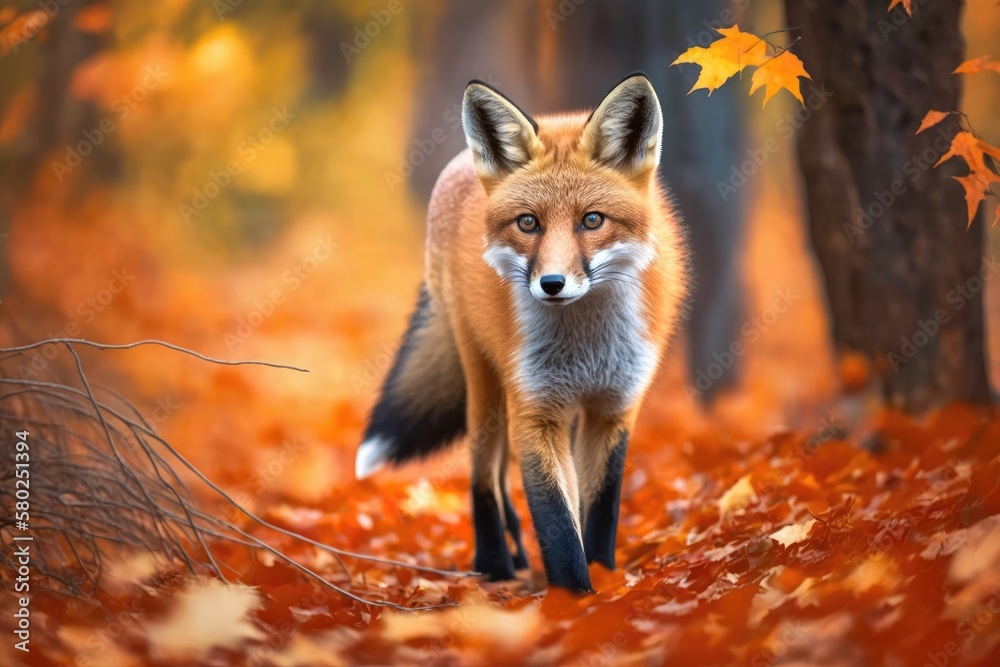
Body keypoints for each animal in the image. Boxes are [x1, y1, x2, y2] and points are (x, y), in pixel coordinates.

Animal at [355, 72, 689, 592]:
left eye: (592, 220)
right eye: (528, 223)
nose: (551, 284)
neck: (585, 346)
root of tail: (458, 164)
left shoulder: (613, 407)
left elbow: (598, 510)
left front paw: (601, 580)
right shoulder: (536, 409)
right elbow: (556, 520)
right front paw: (573, 597)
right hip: (485, 383)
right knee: (484, 476)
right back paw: (494, 564)